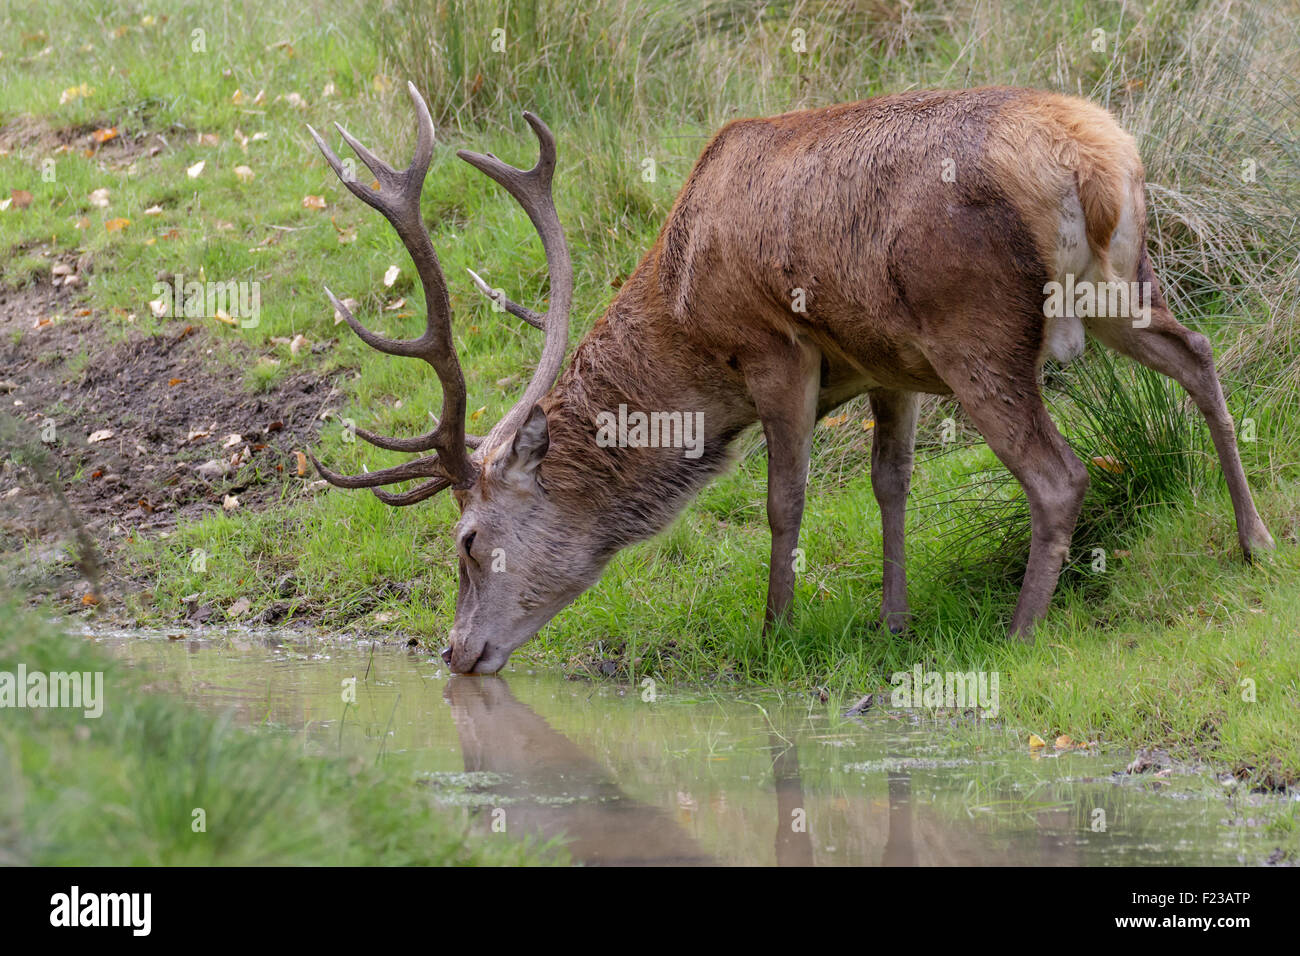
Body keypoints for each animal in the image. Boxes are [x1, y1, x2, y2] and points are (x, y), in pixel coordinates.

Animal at [307, 83, 1274, 674]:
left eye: (468, 541)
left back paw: (1022, 632)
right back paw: (1254, 540)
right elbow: (891, 482)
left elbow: (785, 499)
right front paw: (893, 621)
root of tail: (1095, 159)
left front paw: (775, 631)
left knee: (1060, 474)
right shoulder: (891, 364)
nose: (456, 653)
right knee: (1199, 355)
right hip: (1118, 288)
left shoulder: (776, 350)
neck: (685, 310)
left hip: (977, 332)